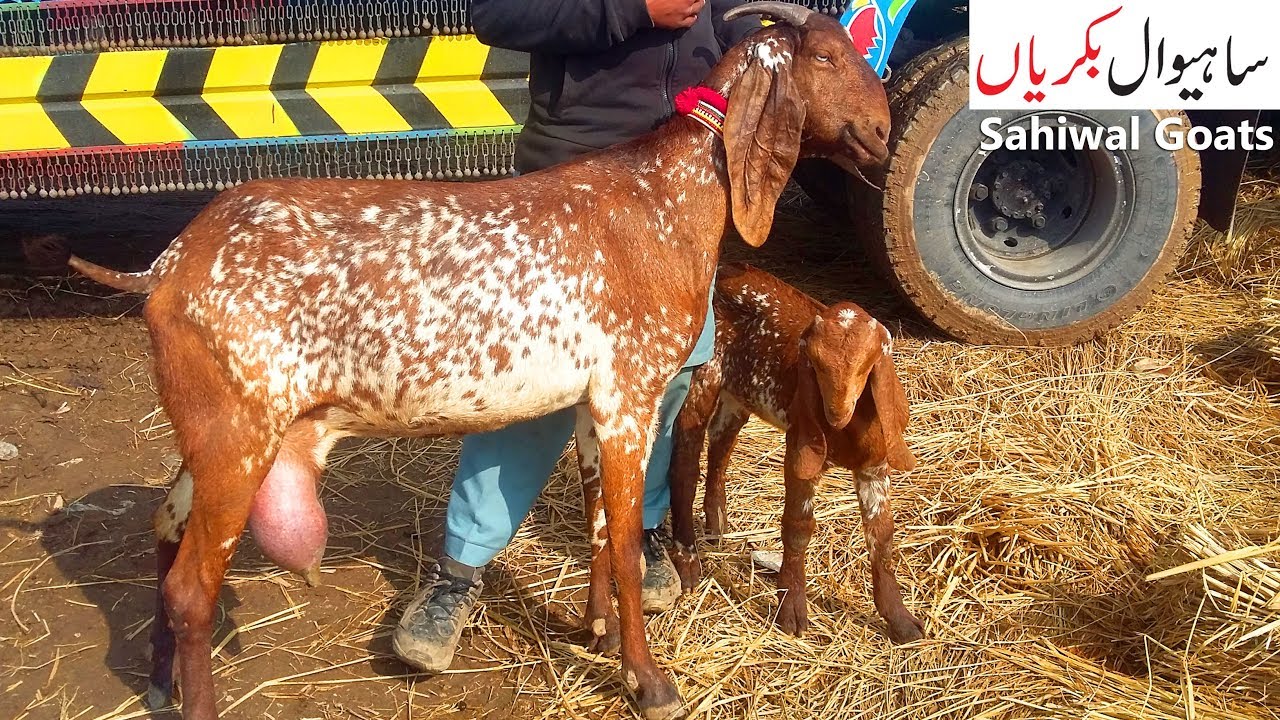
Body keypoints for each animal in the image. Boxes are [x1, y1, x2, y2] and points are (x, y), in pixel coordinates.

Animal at [66, 5, 891, 719]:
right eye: (825, 56)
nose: (883, 131)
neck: (667, 197)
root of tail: (166, 268)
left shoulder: (591, 404)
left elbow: (598, 527)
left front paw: (595, 632)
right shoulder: (630, 394)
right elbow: (626, 543)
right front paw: (648, 679)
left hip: (212, 436)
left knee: (164, 530)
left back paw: (160, 686)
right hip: (238, 436)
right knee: (191, 588)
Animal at [665, 263, 925, 643]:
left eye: (867, 363)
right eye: (814, 364)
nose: (835, 413)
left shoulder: (875, 465)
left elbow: (882, 533)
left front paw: (901, 621)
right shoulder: (800, 450)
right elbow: (798, 526)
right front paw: (791, 610)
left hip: (740, 392)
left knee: (721, 443)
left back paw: (717, 523)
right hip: (703, 377)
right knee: (684, 462)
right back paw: (688, 562)